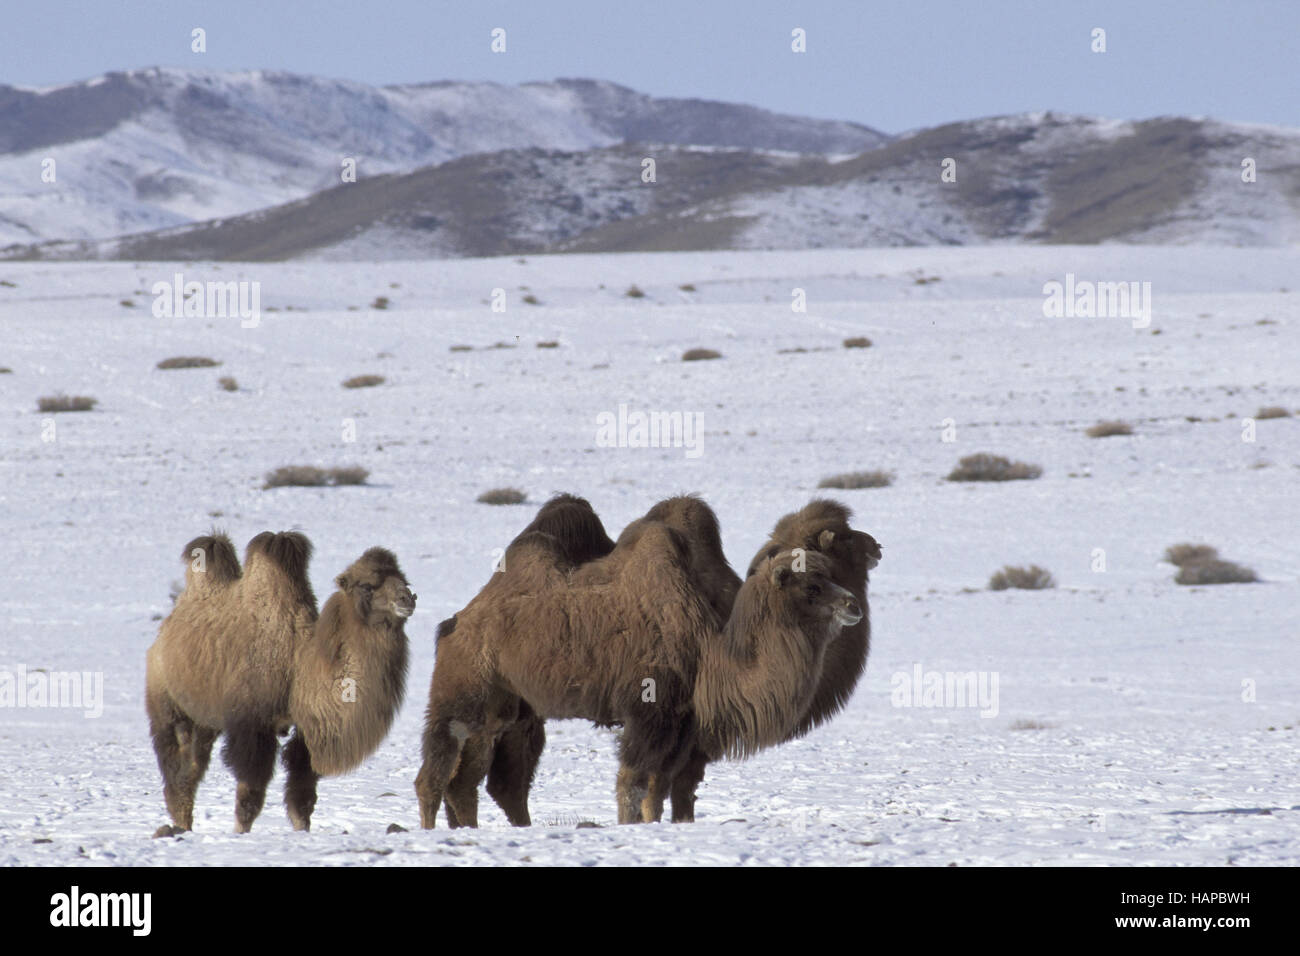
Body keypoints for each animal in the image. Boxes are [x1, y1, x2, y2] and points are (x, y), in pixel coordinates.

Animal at [145, 531, 414, 835]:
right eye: (367, 586)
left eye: (405, 580)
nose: (407, 599)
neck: (297, 666)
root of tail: (165, 631)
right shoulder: (252, 725)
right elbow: (250, 791)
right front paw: (240, 833)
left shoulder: (307, 729)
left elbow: (302, 793)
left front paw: (301, 831)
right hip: (165, 699)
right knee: (175, 761)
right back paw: (179, 823)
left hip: (205, 718)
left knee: (192, 765)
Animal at [415, 503, 862, 827]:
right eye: (812, 586)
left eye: (831, 574)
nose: (852, 604)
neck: (709, 649)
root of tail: (456, 622)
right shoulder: (648, 710)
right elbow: (631, 784)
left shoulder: (681, 724)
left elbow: (658, 790)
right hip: (462, 688)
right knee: (434, 774)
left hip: (505, 710)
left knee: (470, 781)